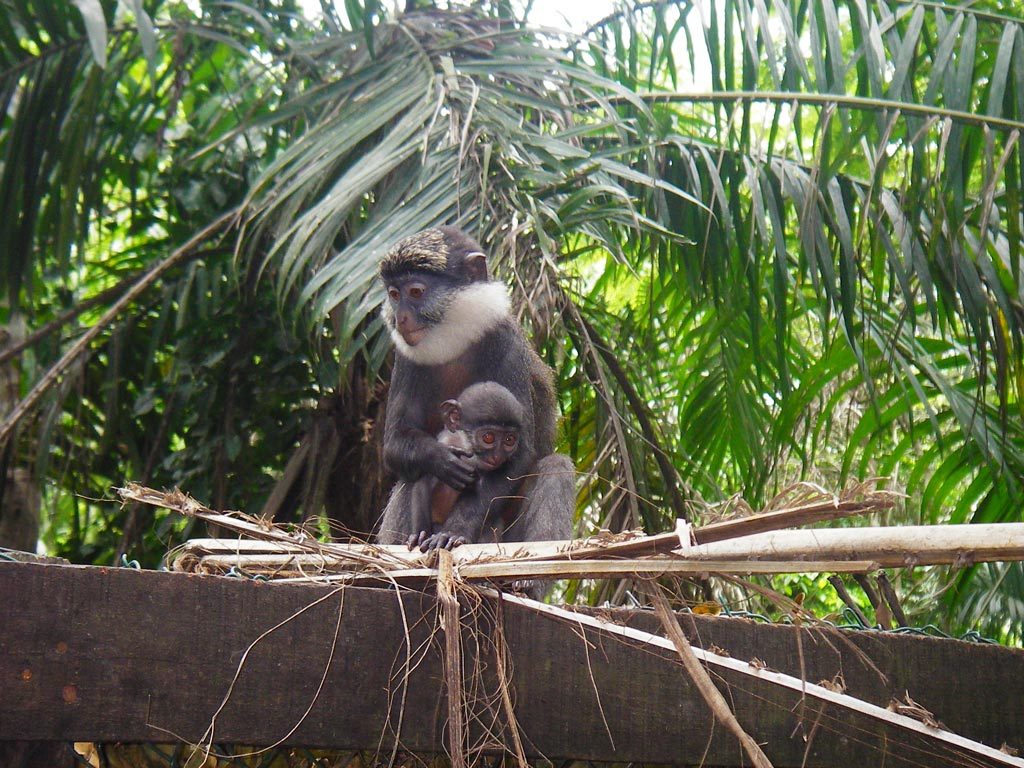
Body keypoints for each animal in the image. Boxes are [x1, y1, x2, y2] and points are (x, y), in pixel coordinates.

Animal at [405, 381, 524, 551]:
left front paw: (451, 534)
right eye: (488, 437)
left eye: (509, 439)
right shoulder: (445, 443)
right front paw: (420, 534)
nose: (497, 456)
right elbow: (423, 481)